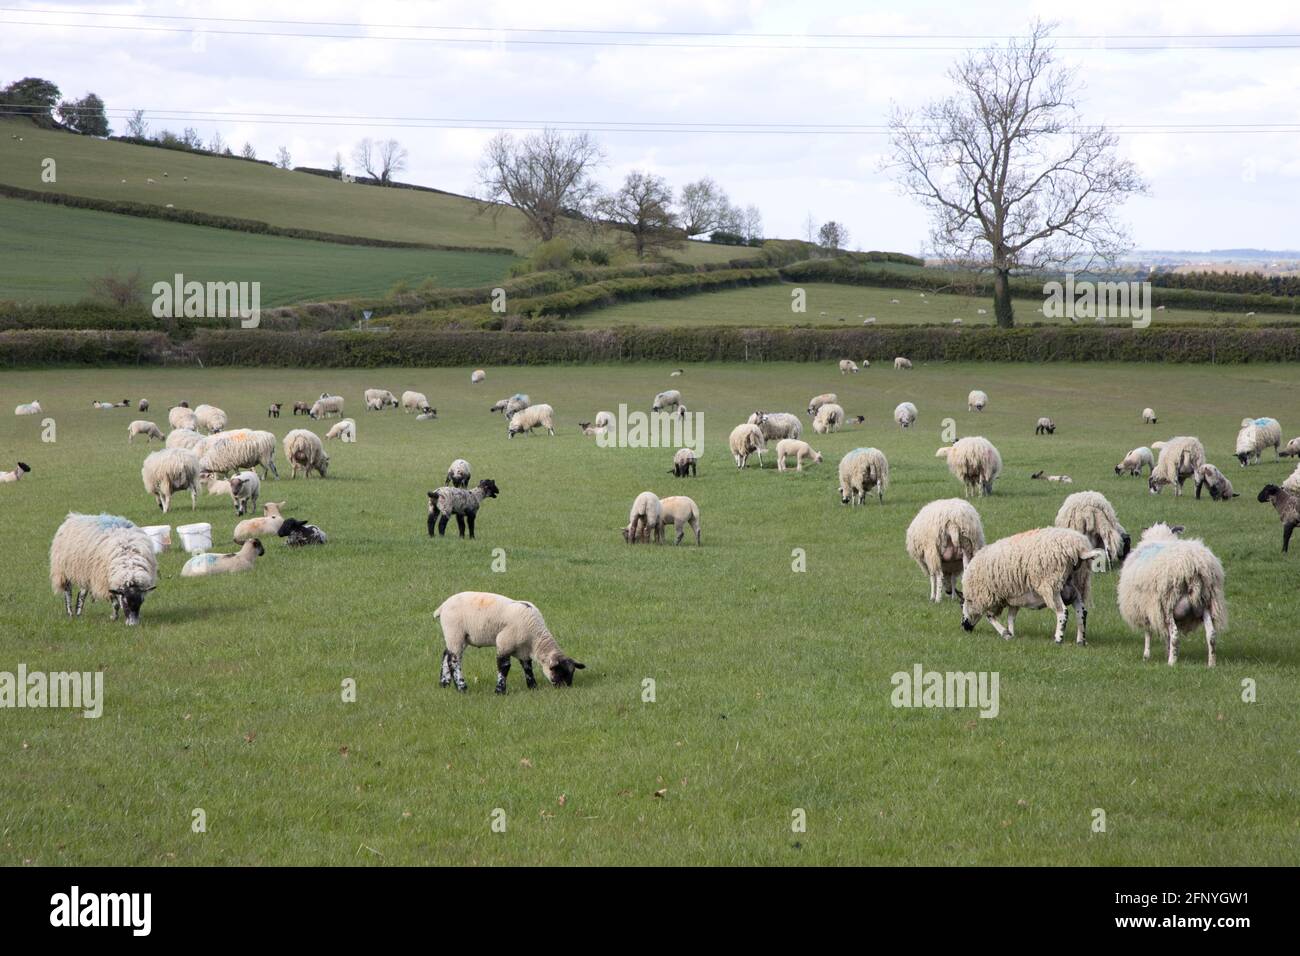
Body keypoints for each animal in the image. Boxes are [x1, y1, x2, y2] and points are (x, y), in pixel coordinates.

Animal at [433, 591, 585, 693]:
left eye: (571, 672)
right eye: (559, 671)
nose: (566, 688)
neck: (535, 638)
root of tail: (442, 607)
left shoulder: (523, 650)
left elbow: (527, 667)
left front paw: (533, 687)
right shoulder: (504, 643)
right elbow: (504, 667)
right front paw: (500, 690)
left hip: (457, 636)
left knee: (446, 654)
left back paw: (444, 683)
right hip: (454, 632)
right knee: (454, 660)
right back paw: (462, 687)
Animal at [958, 528, 1105, 645]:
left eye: (961, 606)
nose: (964, 627)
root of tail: (1079, 548)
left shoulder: (991, 598)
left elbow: (990, 617)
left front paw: (1005, 633)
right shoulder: (1013, 598)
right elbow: (1011, 617)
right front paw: (1011, 634)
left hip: (1051, 585)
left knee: (1062, 611)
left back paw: (1058, 639)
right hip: (1072, 587)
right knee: (1082, 611)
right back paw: (1081, 640)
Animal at [1117, 523, 1226, 666]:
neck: (1160, 537)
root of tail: (1193, 567)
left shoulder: (1146, 607)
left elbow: (1148, 632)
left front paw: (1146, 655)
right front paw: (1167, 651)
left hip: (1168, 605)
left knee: (1175, 635)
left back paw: (1171, 662)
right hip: (1206, 603)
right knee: (1211, 635)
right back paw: (1211, 663)